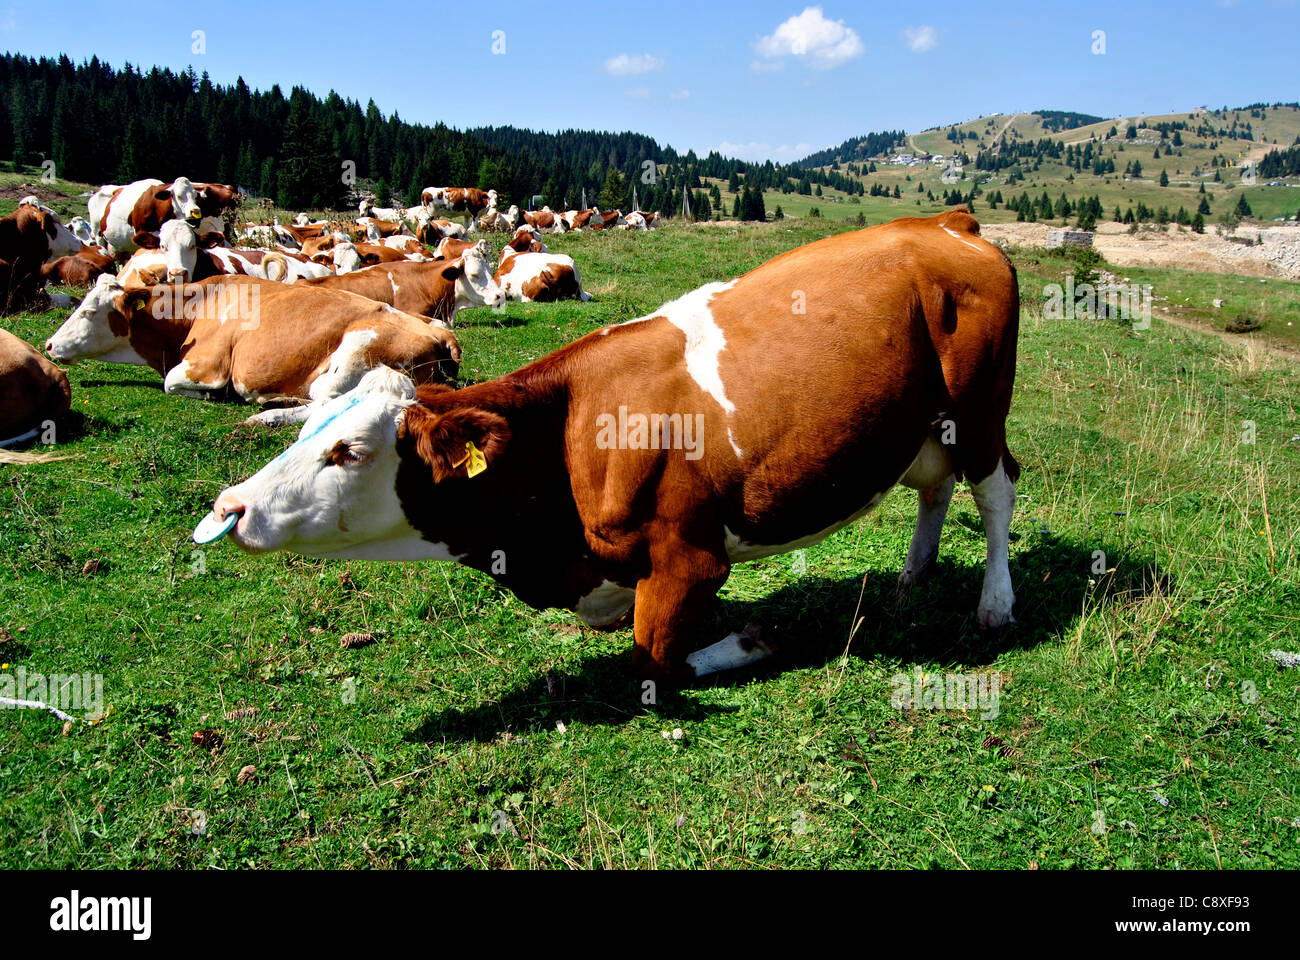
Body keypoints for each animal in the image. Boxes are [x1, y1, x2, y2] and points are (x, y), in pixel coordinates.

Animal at [45, 274, 461, 425]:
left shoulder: (205, 365)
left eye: (89, 310)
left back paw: (267, 416)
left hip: (346, 365)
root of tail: (436, 334)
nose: (48, 344)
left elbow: (171, 383)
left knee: (329, 406)